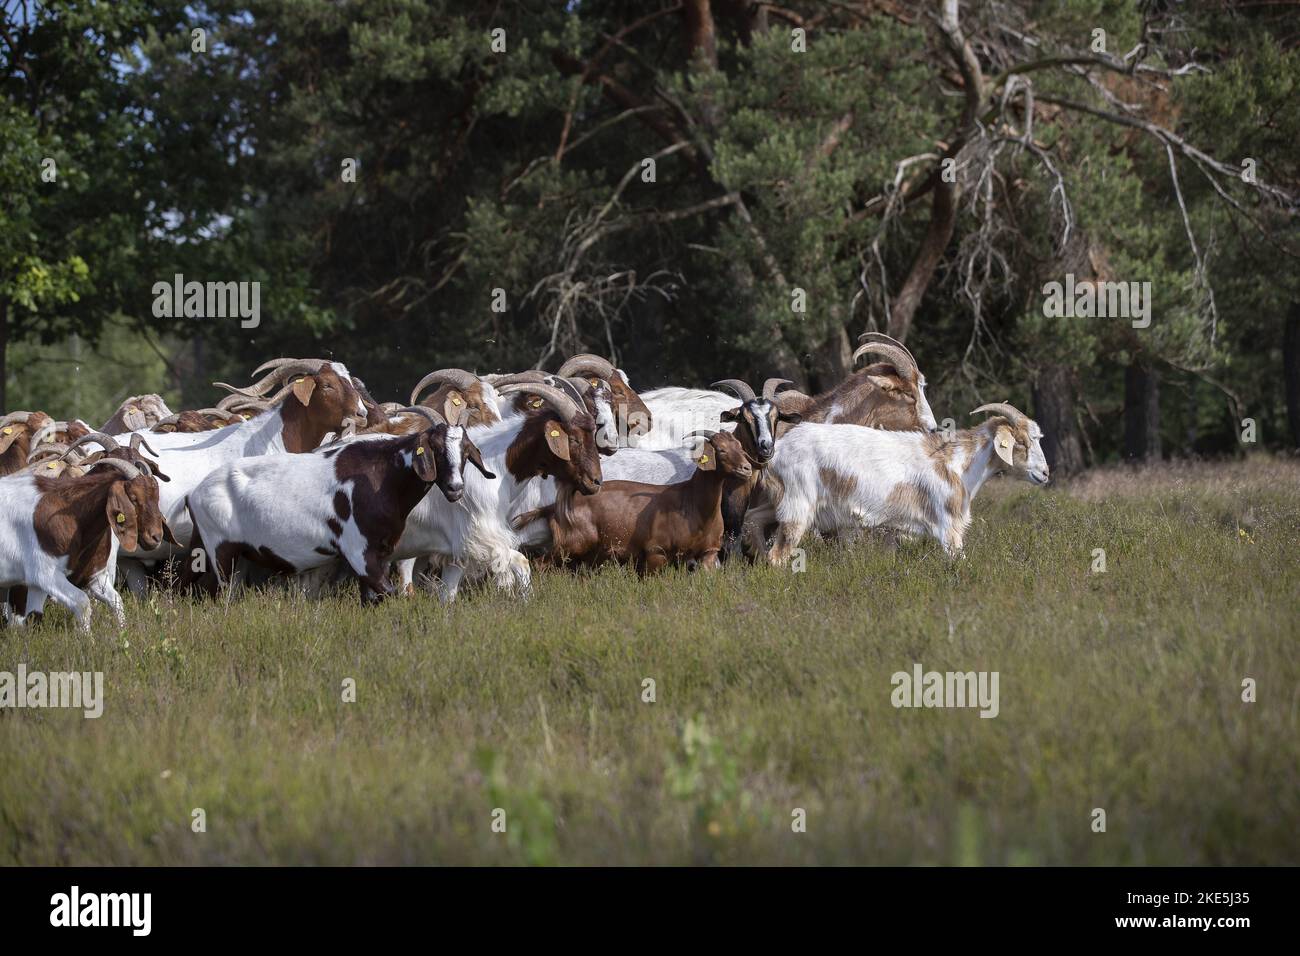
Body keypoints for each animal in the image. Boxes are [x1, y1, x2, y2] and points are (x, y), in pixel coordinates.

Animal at [0, 441, 171, 630]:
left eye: (156, 496)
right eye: (133, 498)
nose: (156, 536)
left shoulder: (93, 577)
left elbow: (116, 601)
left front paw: (123, 632)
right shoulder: (43, 574)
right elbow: (82, 602)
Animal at [512, 430, 752, 574]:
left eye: (741, 446)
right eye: (721, 450)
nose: (747, 468)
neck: (692, 503)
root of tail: (554, 507)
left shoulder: (708, 553)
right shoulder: (656, 553)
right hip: (569, 546)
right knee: (540, 564)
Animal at [753, 403, 1049, 563]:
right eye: (1021, 441)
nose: (1045, 473)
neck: (956, 463)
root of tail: (778, 450)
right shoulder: (947, 529)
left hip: (774, 502)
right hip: (796, 507)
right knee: (777, 556)